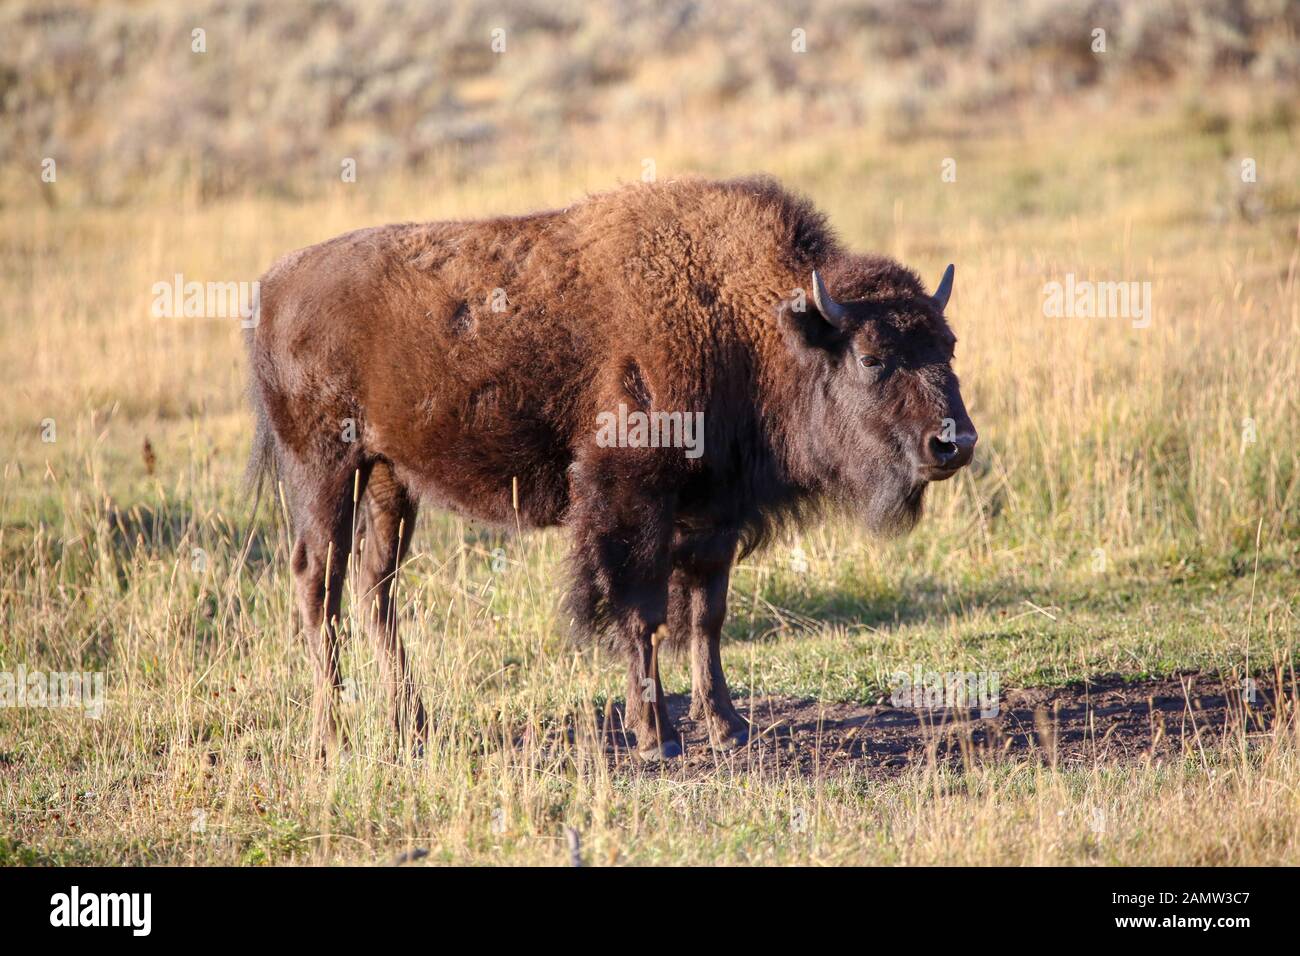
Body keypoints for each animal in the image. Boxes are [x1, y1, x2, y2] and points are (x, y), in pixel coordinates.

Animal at [246, 176, 976, 760]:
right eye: (873, 358)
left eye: (948, 346)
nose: (955, 443)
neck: (744, 319)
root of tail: (272, 287)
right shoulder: (631, 502)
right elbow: (643, 613)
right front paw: (657, 736)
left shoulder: (714, 516)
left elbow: (707, 615)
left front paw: (728, 726)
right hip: (326, 470)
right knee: (318, 583)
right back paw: (333, 737)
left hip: (389, 479)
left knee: (376, 587)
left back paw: (412, 724)